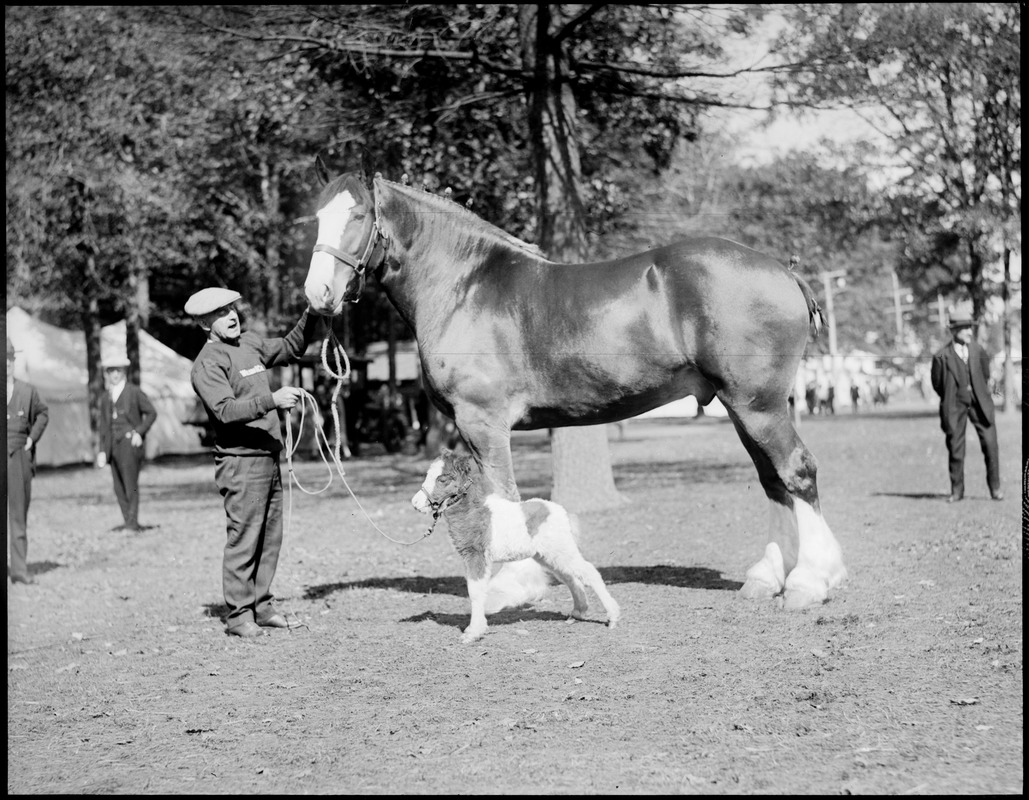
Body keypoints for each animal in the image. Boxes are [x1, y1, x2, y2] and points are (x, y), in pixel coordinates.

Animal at [304, 168, 846, 611]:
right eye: (316, 218)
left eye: (357, 215)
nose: (318, 295)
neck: (464, 287)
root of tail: (784, 271)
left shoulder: (483, 421)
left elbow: (505, 498)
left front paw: (512, 587)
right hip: (744, 409)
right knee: (772, 480)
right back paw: (767, 579)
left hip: (759, 406)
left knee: (797, 472)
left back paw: (810, 582)